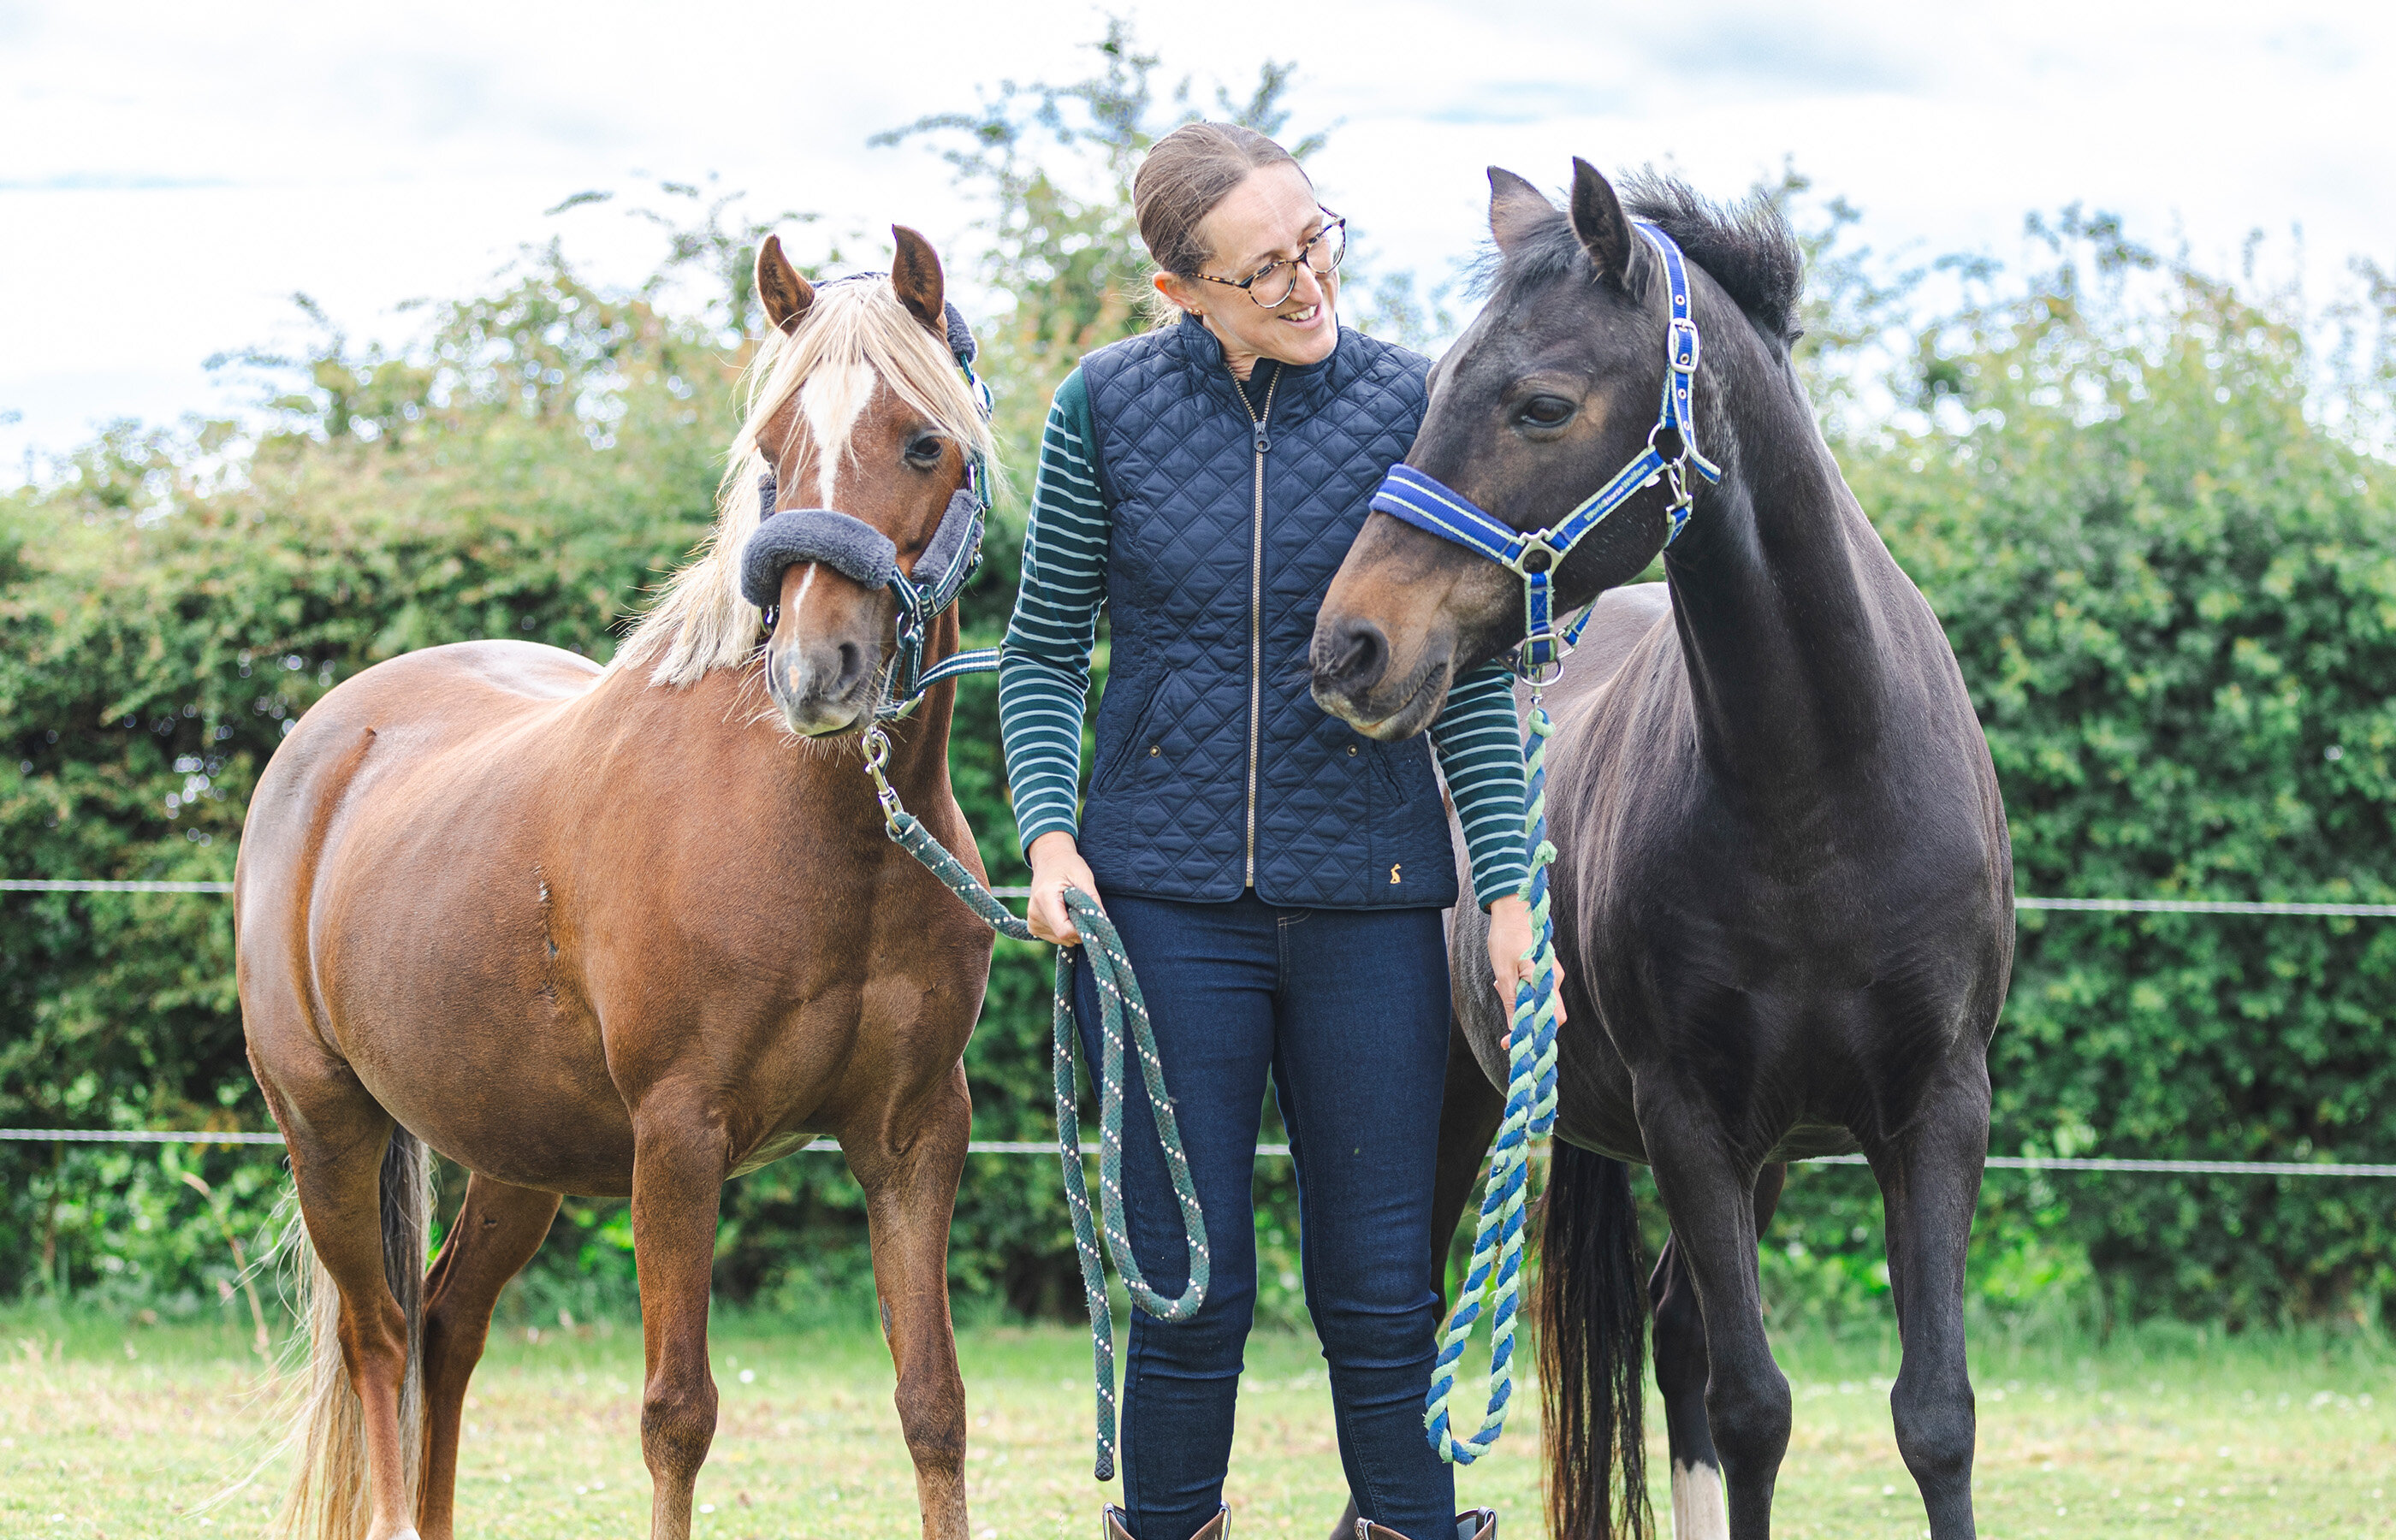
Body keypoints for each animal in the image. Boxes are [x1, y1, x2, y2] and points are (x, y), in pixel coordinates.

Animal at [234, 227, 1000, 1540]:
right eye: (771, 449)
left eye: (921, 440)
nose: (817, 672)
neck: (816, 839)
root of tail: (324, 737)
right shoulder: (677, 1139)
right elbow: (676, 1414)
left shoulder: (913, 1136)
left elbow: (932, 1403)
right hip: (325, 1124)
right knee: (379, 1338)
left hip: (509, 1150)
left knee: (444, 1325)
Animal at [1308, 163, 2013, 1540]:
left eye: (1540, 403)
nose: (1350, 645)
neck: (1818, 801)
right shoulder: (1688, 1118)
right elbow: (1754, 1407)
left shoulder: (1936, 1111)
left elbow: (1934, 1414)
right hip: (1463, 1107)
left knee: (1676, 1331)